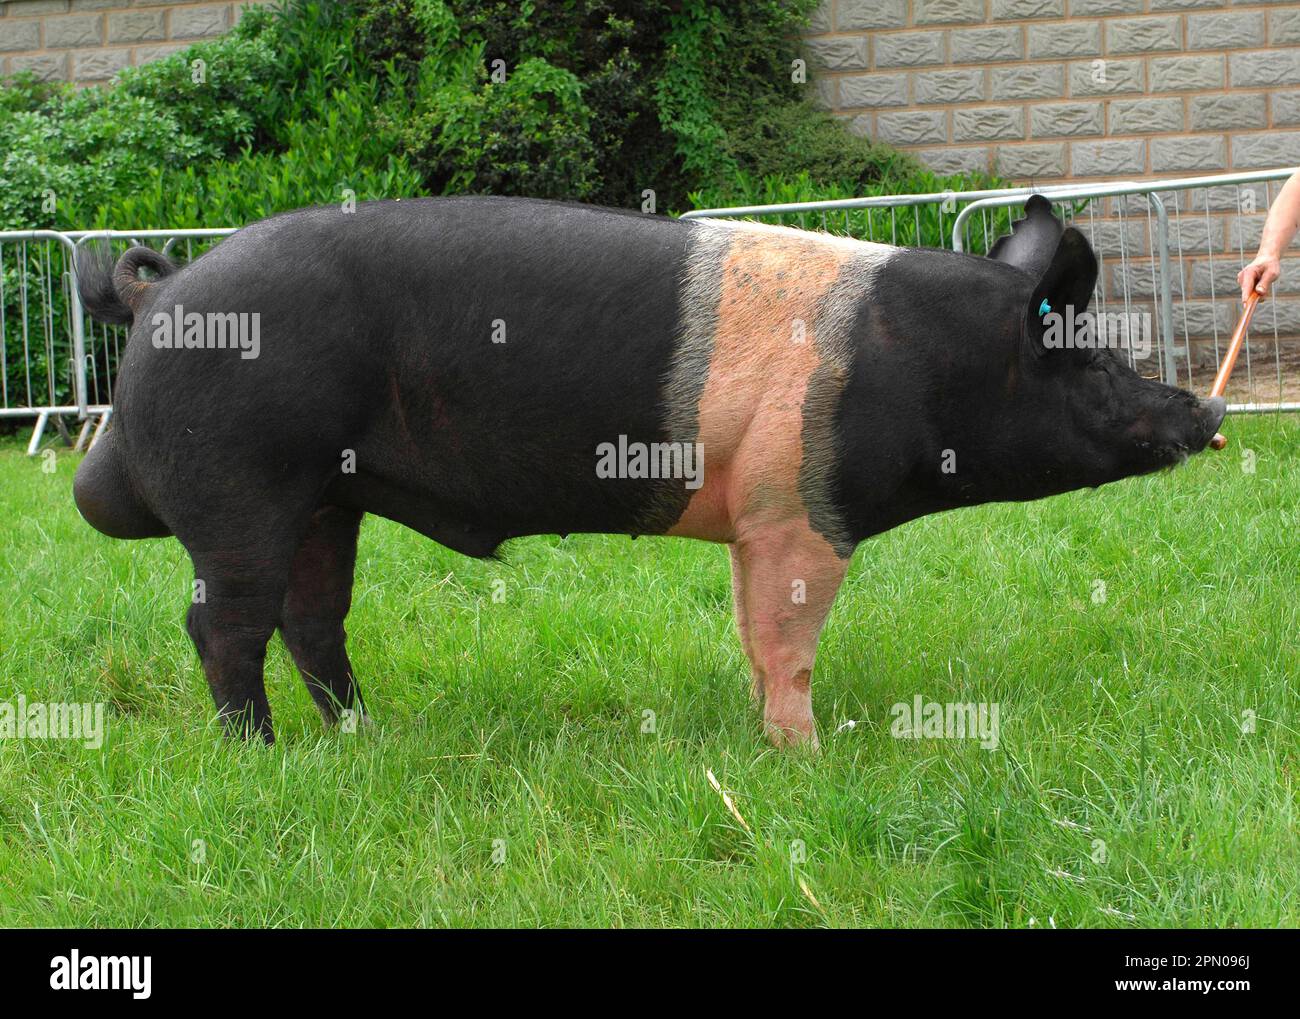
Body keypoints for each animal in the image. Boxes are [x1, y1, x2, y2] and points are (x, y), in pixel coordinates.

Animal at [73, 195, 1226, 747]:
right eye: (1094, 359)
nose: (1209, 409)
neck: (929, 360)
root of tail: (161, 291)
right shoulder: (800, 507)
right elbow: (789, 642)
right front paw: (808, 755)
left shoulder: (758, 517)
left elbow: (754, 635)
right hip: (243, 481)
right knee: (224, 625)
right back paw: (259, 755)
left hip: (327, 499)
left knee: (313, 620)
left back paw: (365, 735)